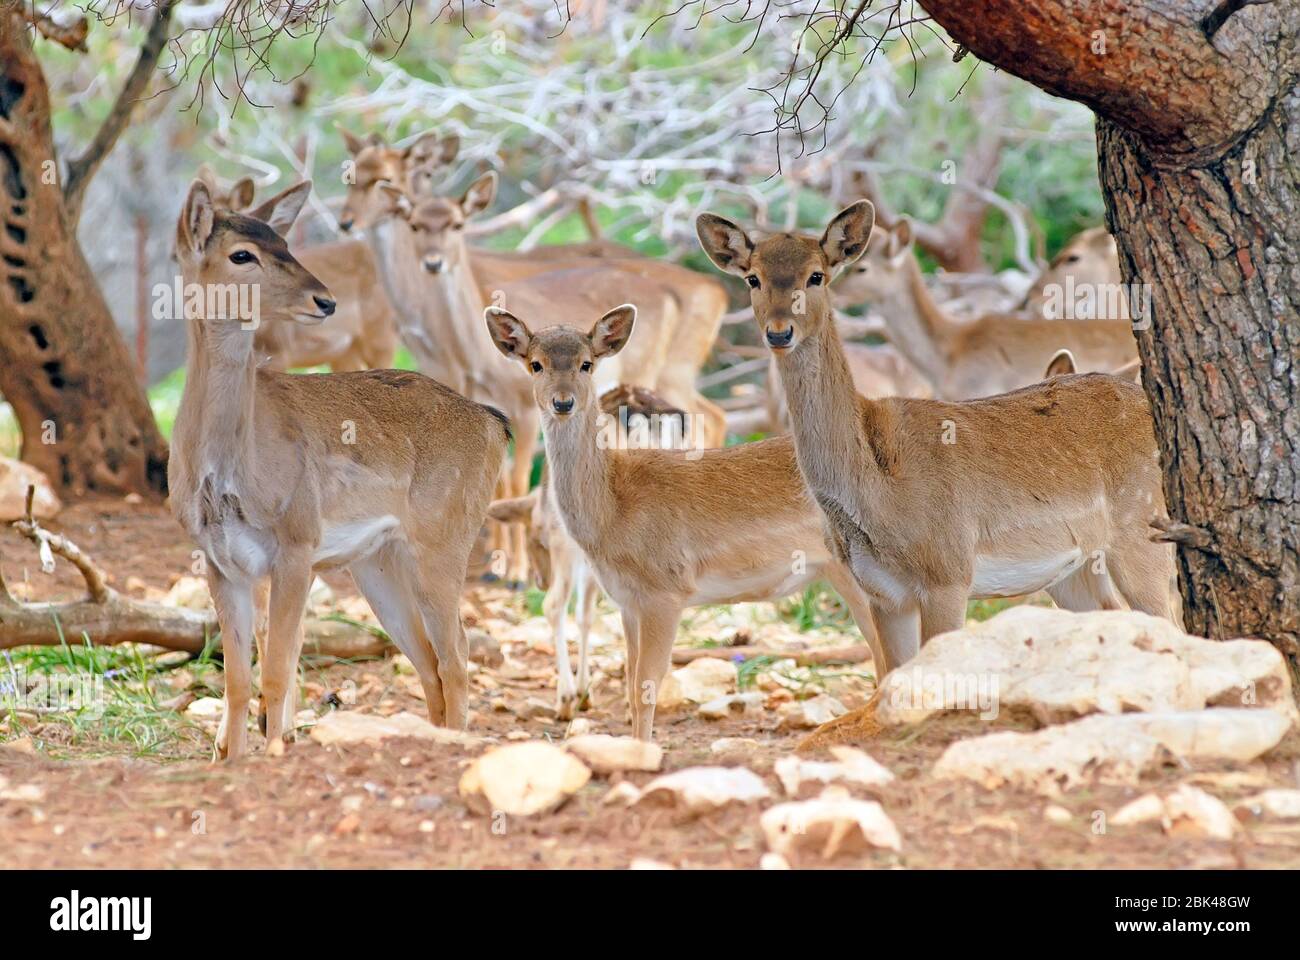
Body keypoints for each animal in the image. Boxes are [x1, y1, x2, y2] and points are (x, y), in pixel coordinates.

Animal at [485, 303, 888, 741]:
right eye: (535, 364)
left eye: (586, 364)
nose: (563, 402)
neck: (613, 510)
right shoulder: (627, 601)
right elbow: (630, 684)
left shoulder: (665, 590)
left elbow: (646, 686)